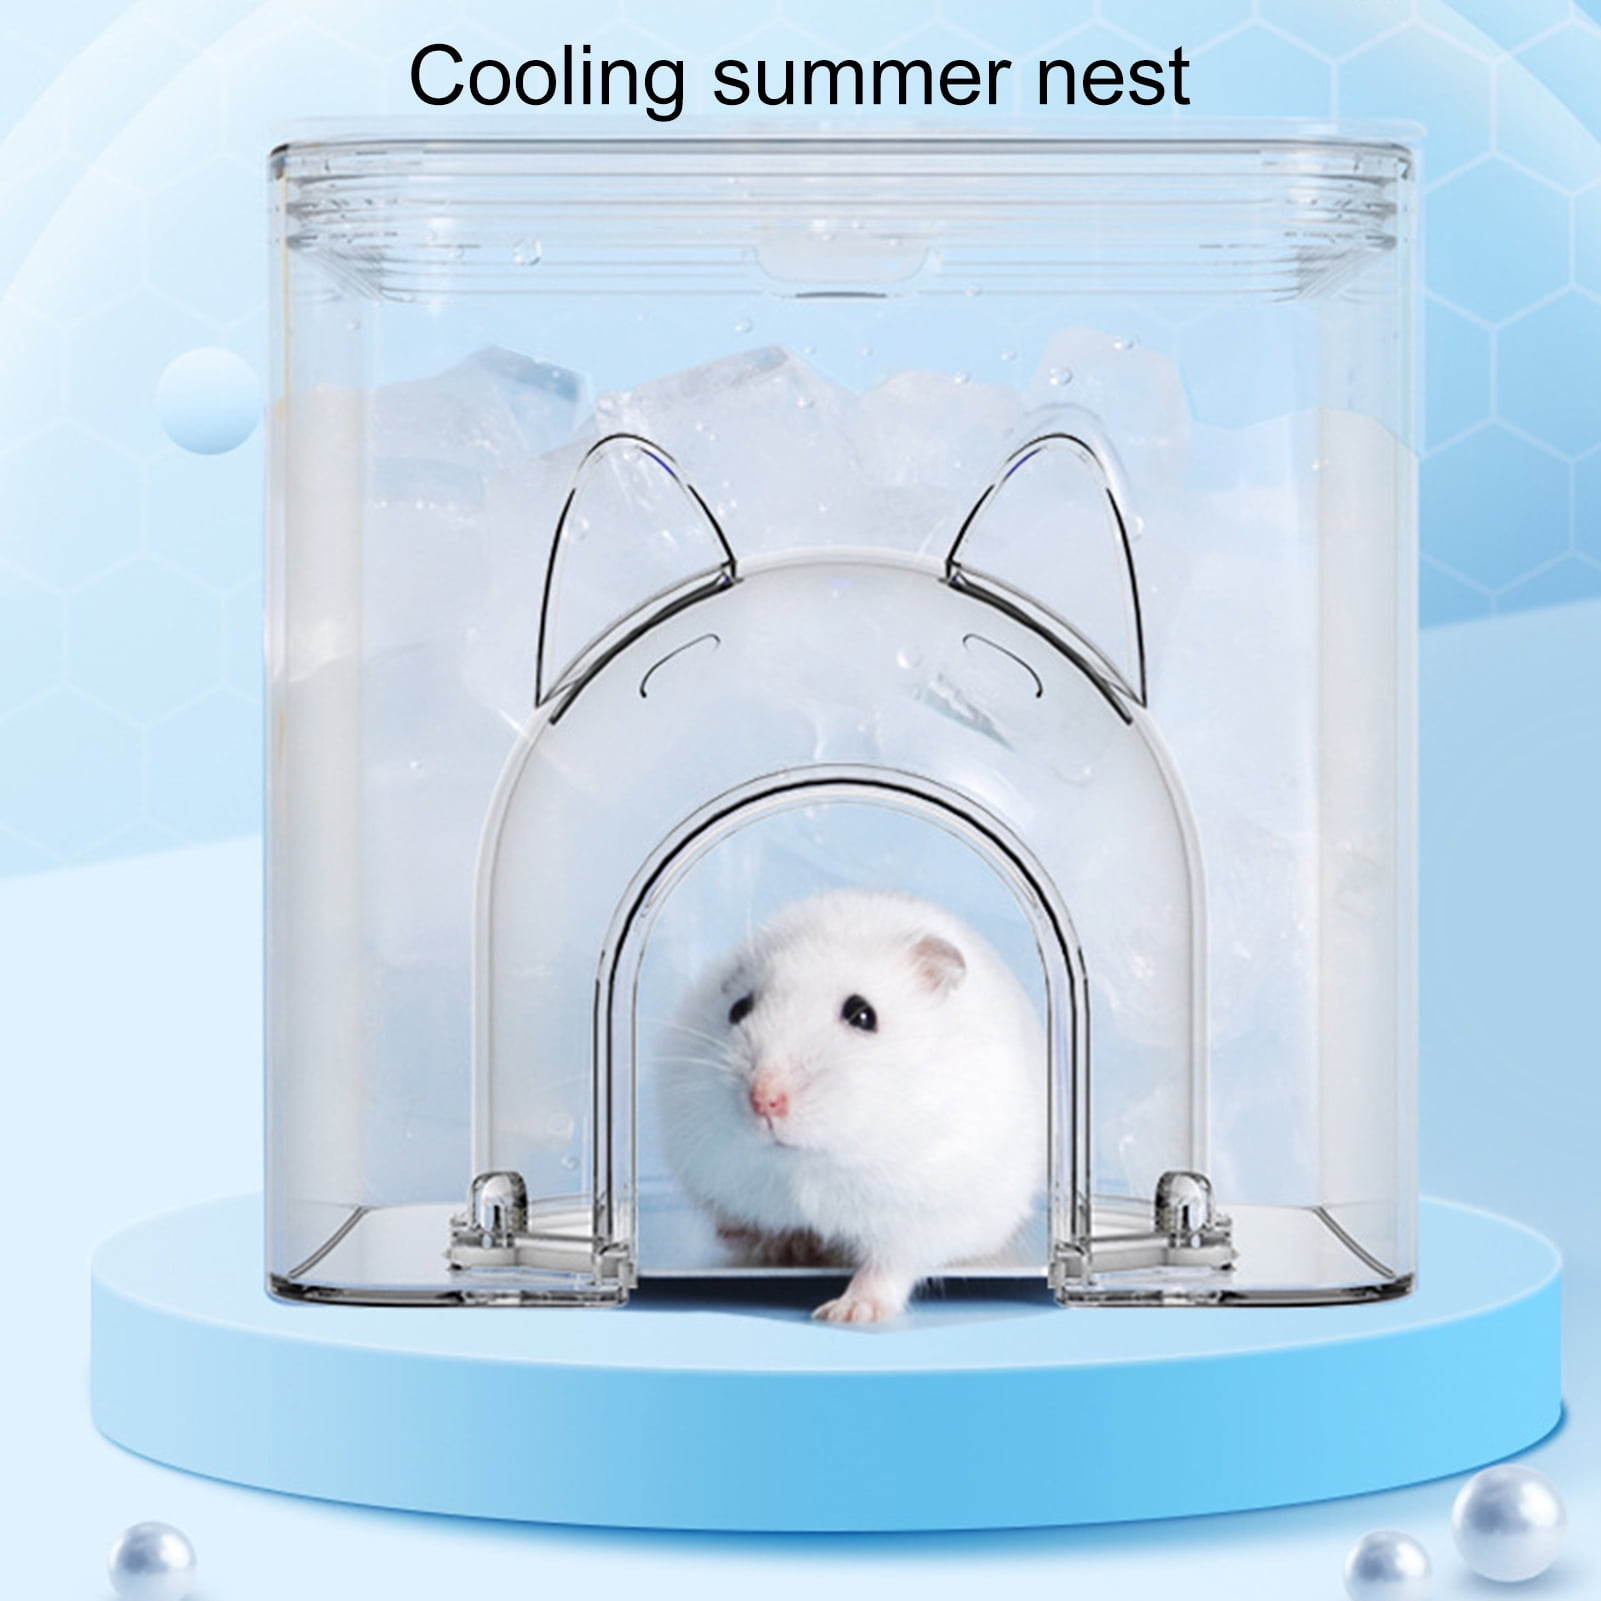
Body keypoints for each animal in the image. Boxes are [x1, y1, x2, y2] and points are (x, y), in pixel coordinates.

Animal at [656, 888, 1045, 1323]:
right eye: (738, 1009)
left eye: (863, 1014)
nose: (764, 1099)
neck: (811, 1162)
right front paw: (781, 1246)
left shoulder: (920, 1215)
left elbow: (888, 1267)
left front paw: (844, 1313)